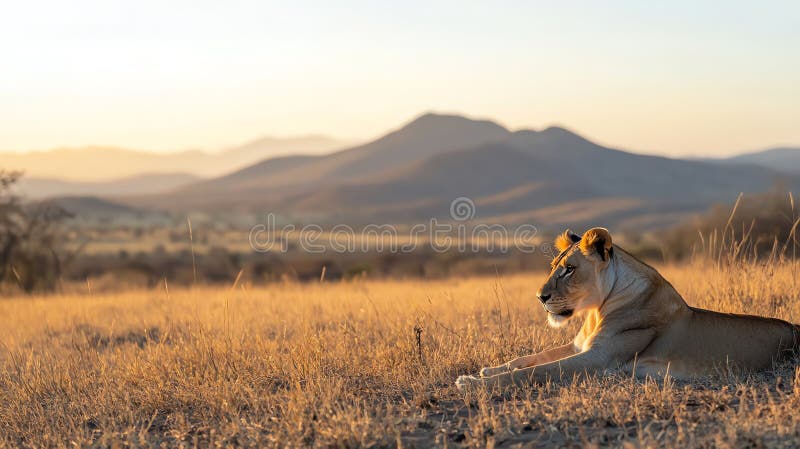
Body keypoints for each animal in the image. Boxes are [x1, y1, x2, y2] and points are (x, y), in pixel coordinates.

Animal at [456, 227, 800, 392]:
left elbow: (535, 372)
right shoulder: (579, 346)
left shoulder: (599, 359)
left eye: (569, 270)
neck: (596, 310)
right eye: (553, 266)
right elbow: (527, 359)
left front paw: (472, 384)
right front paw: (488, 370)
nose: (540, 297)